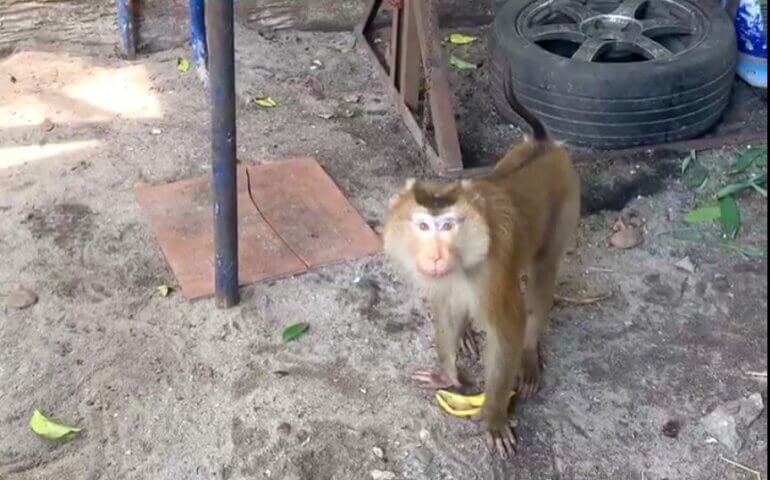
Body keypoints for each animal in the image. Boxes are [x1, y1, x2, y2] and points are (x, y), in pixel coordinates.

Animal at [382, 71, 580, 459]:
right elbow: (446, 307)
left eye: (447, 226)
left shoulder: (490, 273)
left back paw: (529, 356)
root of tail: (543, 145)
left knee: (542, 274)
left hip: (568, 200)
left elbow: (508, 332)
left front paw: (493, 418)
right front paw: (446, 373)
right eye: (423, 226)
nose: (435, 255)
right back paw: (467, 336)